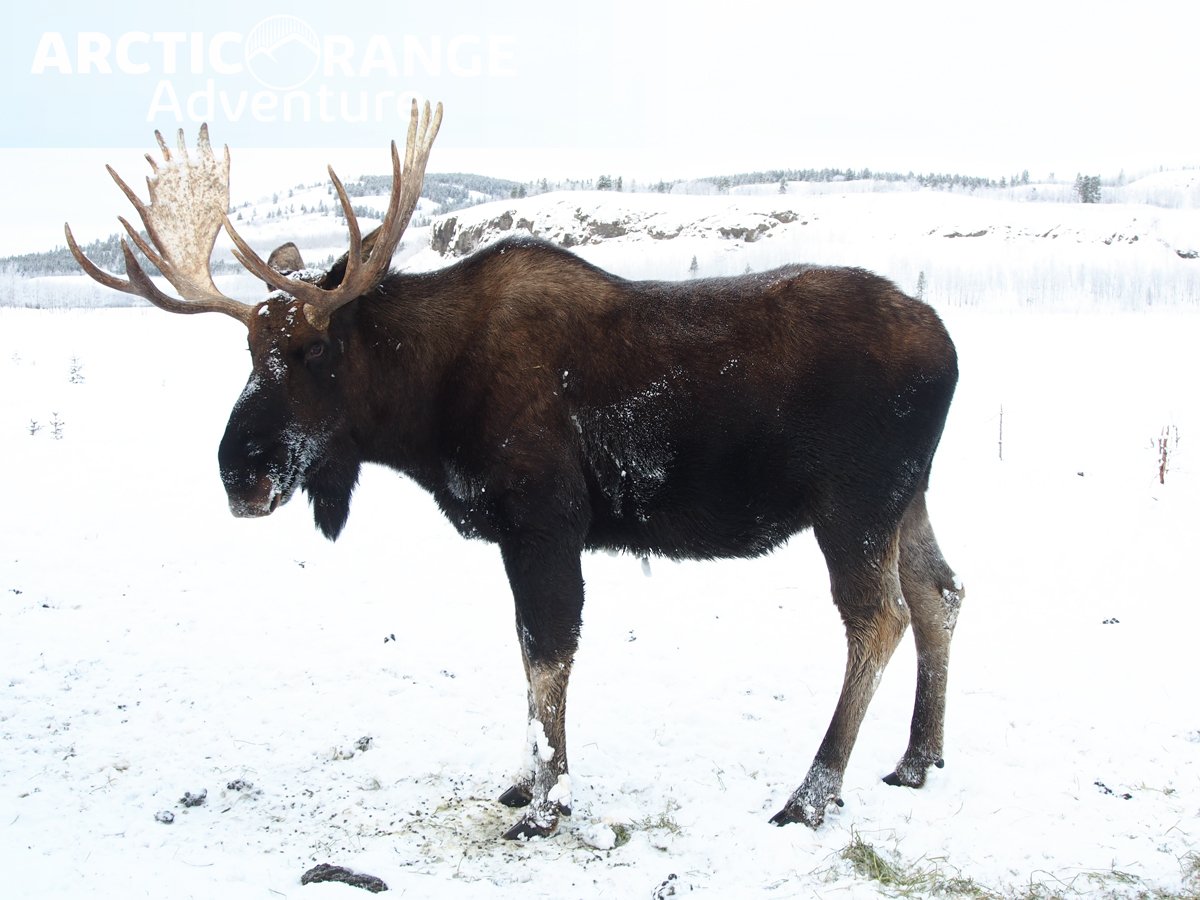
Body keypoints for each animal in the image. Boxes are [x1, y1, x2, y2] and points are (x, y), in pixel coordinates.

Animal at [65, 100, 964, 840]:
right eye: (251, 351)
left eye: (316, 349)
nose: (238, 474)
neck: (428, 412)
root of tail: (950, 348)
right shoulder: (514, 534)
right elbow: (529, 661)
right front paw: (522, 784)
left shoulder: (545, 522)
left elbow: (548, 658)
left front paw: (547, 804)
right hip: (909, 495)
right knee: (940, 594)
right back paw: (918, 759)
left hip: (854, 503)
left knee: (879, 619)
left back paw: (812, 793)